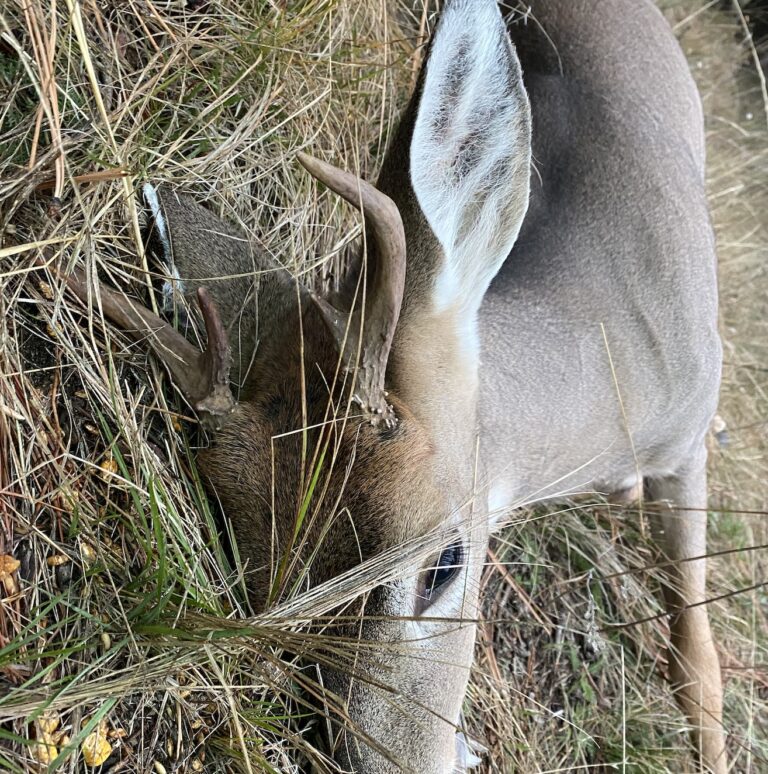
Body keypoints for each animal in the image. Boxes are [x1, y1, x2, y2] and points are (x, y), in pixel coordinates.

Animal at [51, 0, 726, 771]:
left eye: (444, 567)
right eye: (263, 579)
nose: (372, 756)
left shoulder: (690, 435)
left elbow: (696, 636)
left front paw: (712, 746)